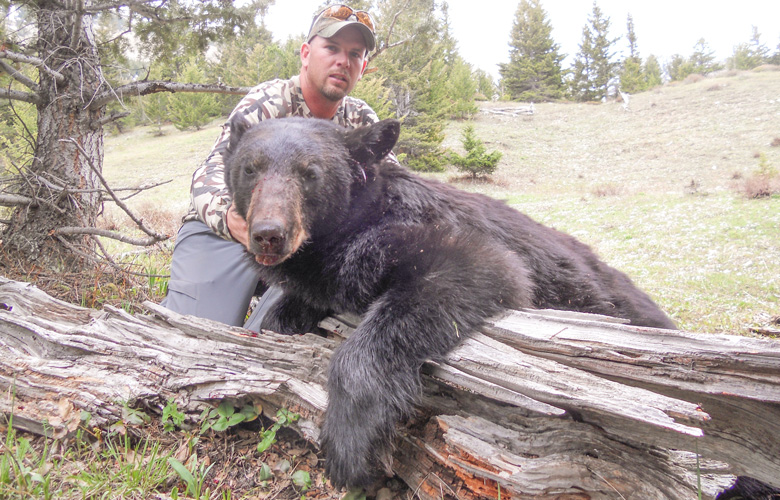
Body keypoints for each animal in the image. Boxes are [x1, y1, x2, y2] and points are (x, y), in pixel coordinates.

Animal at [223, 116, 676, 489]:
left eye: (310, 173)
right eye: (251, 168)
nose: (269, 234)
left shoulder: (432, 237)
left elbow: (475, 270)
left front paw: (350, 447)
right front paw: (282, 319)